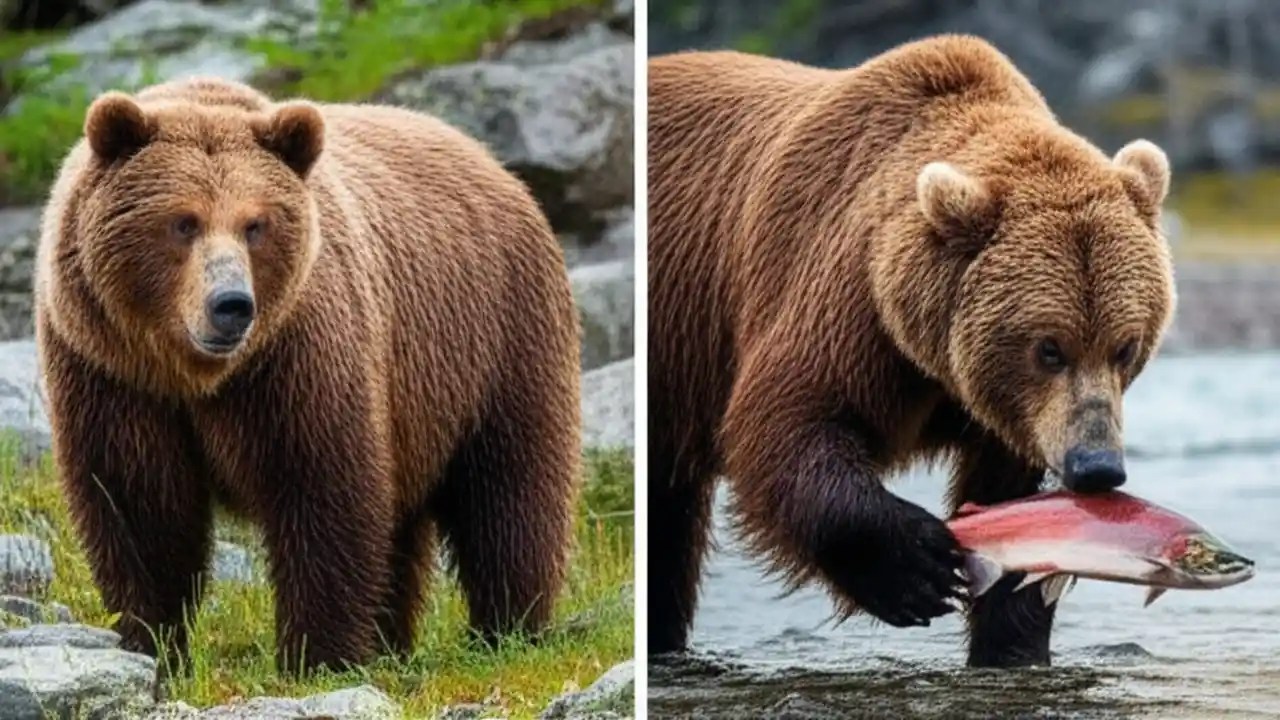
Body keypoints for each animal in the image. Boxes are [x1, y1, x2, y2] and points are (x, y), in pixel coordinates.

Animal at [34, 77, 582, 673]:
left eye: (255, 224)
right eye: (183, 221)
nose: (232, 305)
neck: (197, 376)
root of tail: (492, 162)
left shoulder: (297, 357)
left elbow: (322, 489)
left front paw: (316, 656)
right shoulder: (112, 373)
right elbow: (138, 507)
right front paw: (151, 641)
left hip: (494, 342)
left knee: (508, 491)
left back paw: (508, 629)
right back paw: (392, 642)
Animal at [647, 35, 1174, 667]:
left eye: (1124, 346)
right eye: (1049, 348)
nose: (1096, 466)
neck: (931, 363)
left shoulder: (1006, 416)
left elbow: (1012, 502)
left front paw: (1011, 644)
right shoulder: (842, 304)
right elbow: (787, 423)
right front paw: (915, 568)